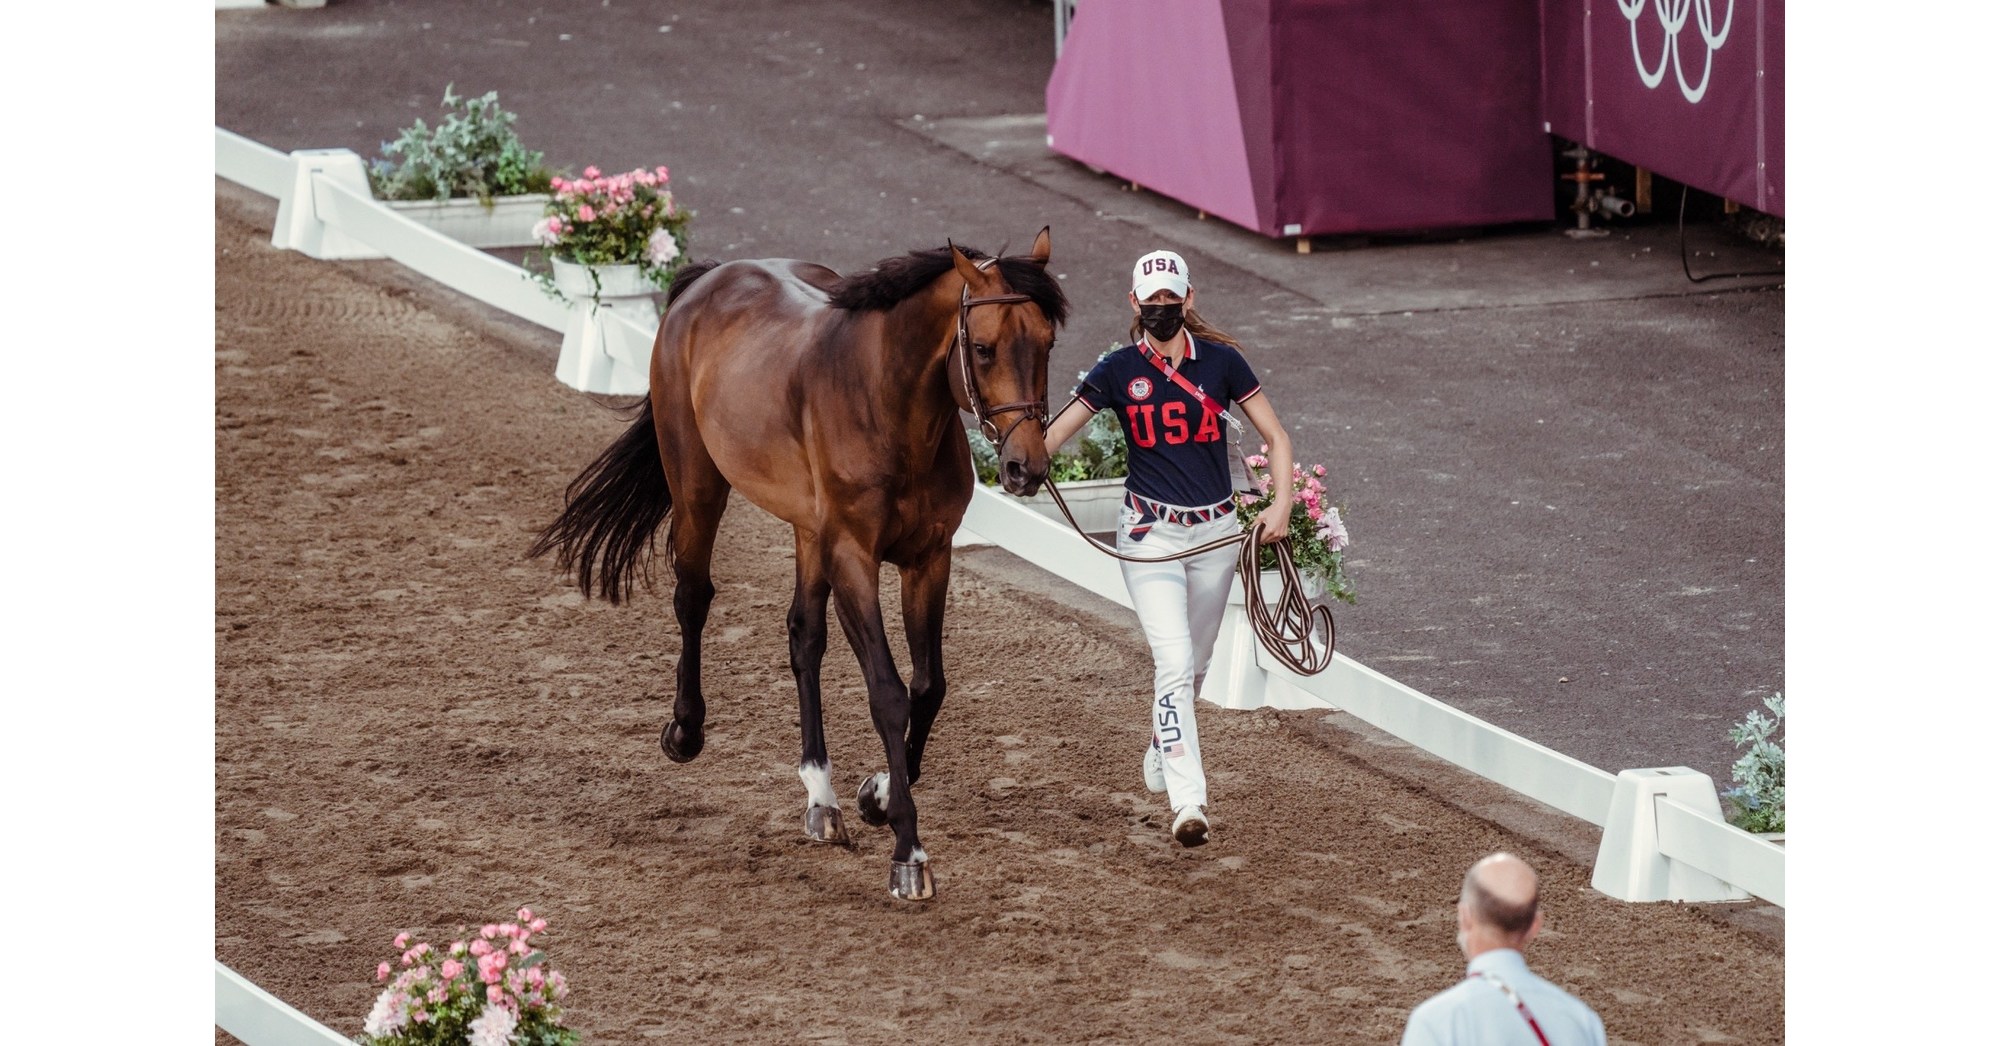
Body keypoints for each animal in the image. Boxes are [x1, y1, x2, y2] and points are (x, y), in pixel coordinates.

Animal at [529, 229, 1068, 899]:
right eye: (985, 348)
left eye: (1047, 343)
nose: (1027, 468)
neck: (889, 405)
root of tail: (711, 280)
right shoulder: (854, 558)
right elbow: (887, 692)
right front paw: (909, 853)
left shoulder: (927, 558)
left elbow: (928, 685)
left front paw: (877, 795)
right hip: (699, 488)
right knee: (693, 598)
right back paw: (686, 732)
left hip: (809, 532)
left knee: (803, 637)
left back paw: (821, 797)